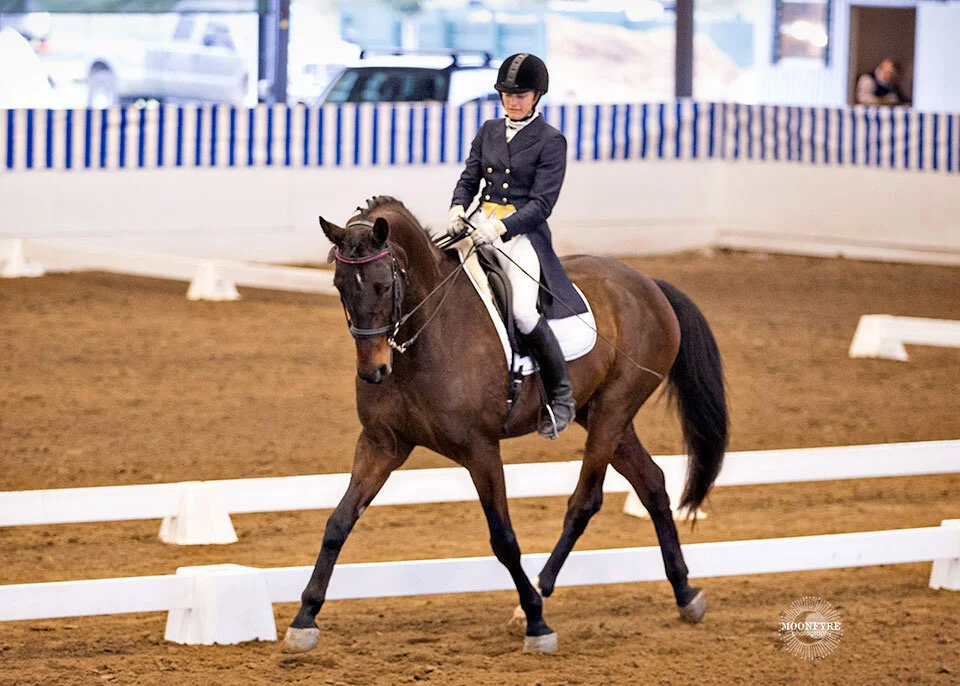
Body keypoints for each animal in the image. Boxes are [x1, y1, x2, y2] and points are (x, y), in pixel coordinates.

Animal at [282, 196, 728, 654]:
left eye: (382, 286)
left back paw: (540, 594)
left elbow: (504, 539)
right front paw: (304, 619)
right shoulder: (381, 444)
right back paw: (686, 594)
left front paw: (537, 623)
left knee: (584, 502)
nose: (374, 372)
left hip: (614, 410)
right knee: (652, 482)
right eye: (339, 285)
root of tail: (648, 283)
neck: (425, 337)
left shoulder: (480, 450)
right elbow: (338, 522)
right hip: (600, 414)